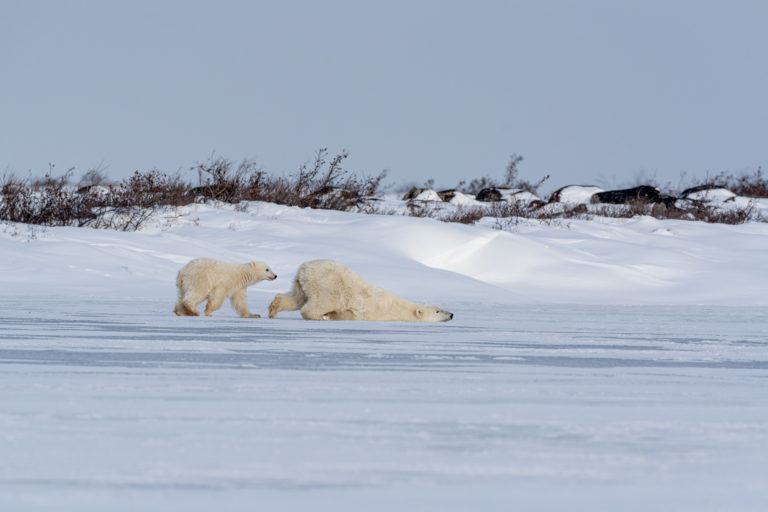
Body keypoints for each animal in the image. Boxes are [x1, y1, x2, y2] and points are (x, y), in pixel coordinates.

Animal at [268, 259, 453, 322]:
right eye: (437, 311)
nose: (451, 314)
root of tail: (305, 268)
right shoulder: (375, 312)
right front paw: (330, 316)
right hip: (328, 284)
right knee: (319, 302)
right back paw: (320, 316)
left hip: (301, 282)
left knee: (296, 298)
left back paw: (273, 309)